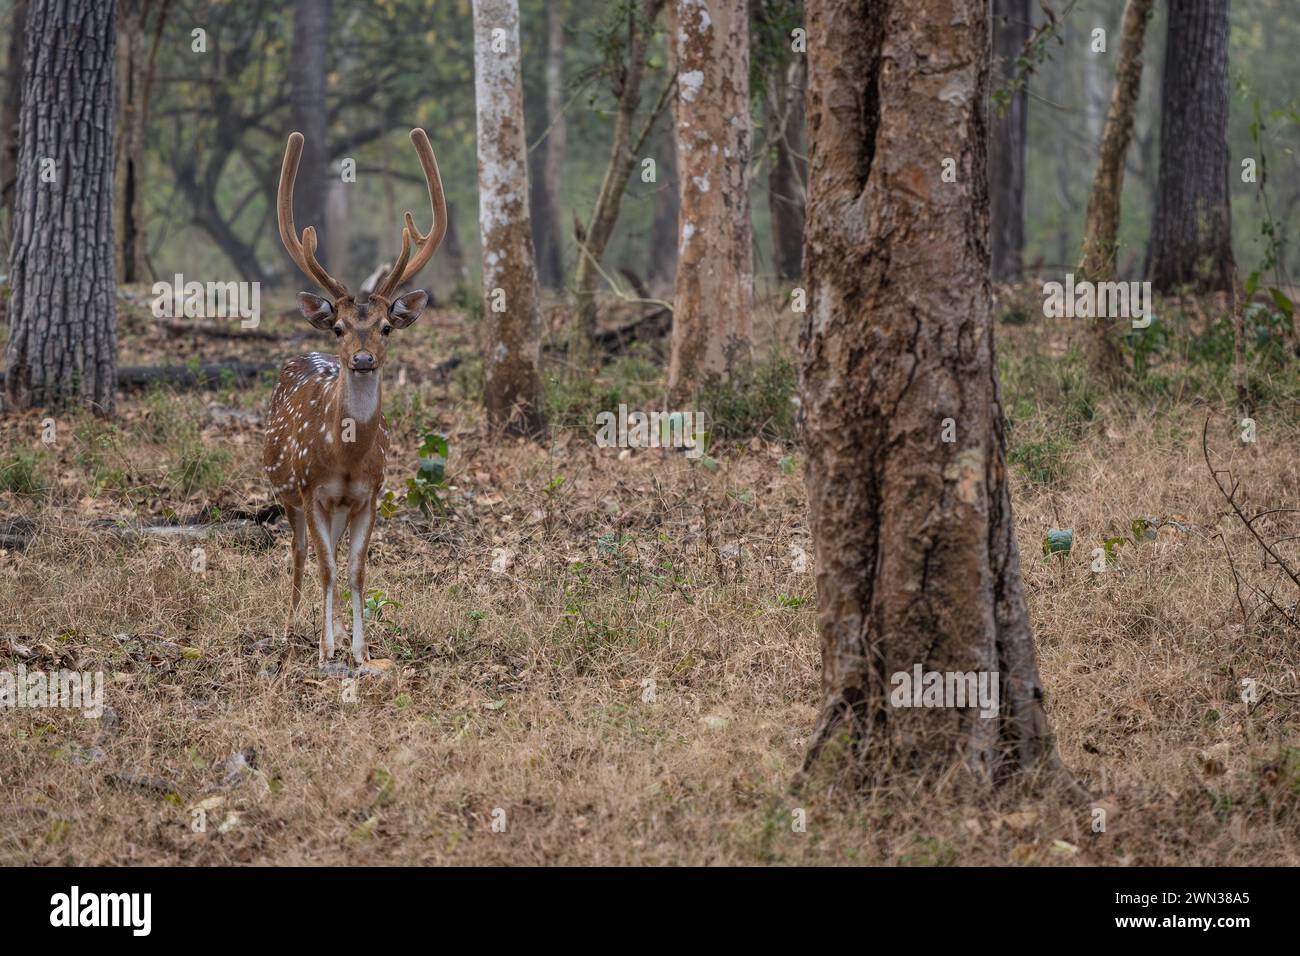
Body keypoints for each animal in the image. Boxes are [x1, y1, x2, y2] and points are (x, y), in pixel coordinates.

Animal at [263, 128, 446, 671]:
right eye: (341, 327)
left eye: (386, 326)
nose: (362, 359)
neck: (344, 457)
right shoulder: (311, 489)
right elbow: (325, 567)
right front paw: (326, 651)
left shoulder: (370, 493)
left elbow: (356, 569)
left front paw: (361, 651)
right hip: (286, 490)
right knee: (300, 554)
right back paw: (290, 629)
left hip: (337, 507)